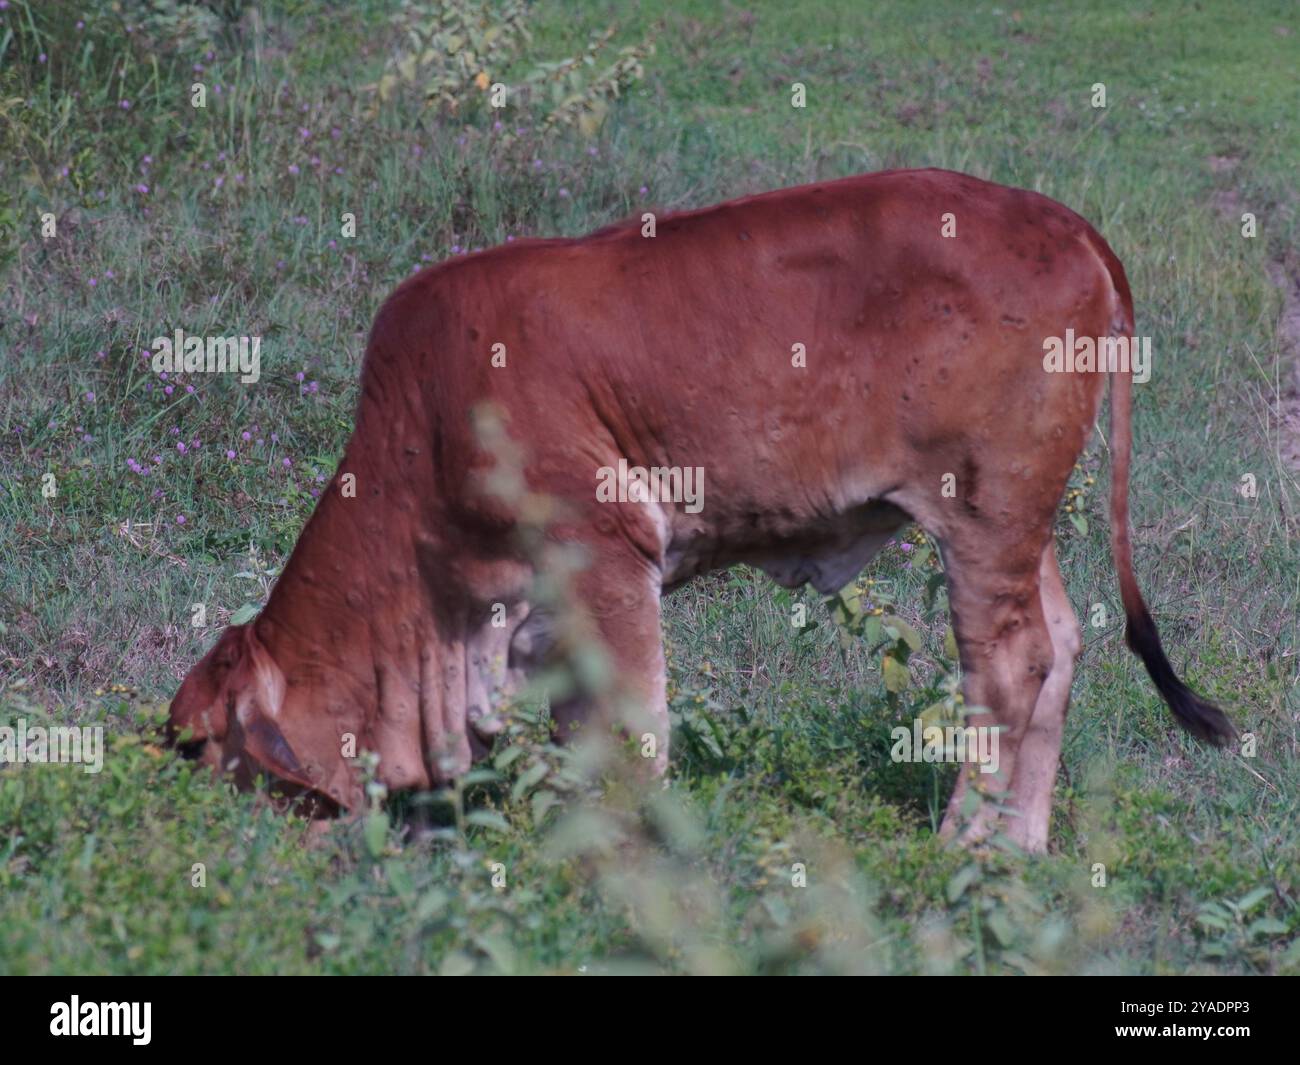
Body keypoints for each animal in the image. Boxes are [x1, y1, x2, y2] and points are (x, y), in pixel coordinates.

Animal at [169, 168, 1235, 851]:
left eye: (197, 744)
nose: (210, 842)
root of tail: (1061, 220)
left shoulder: (604, 557)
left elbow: (635, 738)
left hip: (983, 511)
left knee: (1009, 667)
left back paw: (962, 847)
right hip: (1017, 521)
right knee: (1060, 644)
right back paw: (1022, 845)